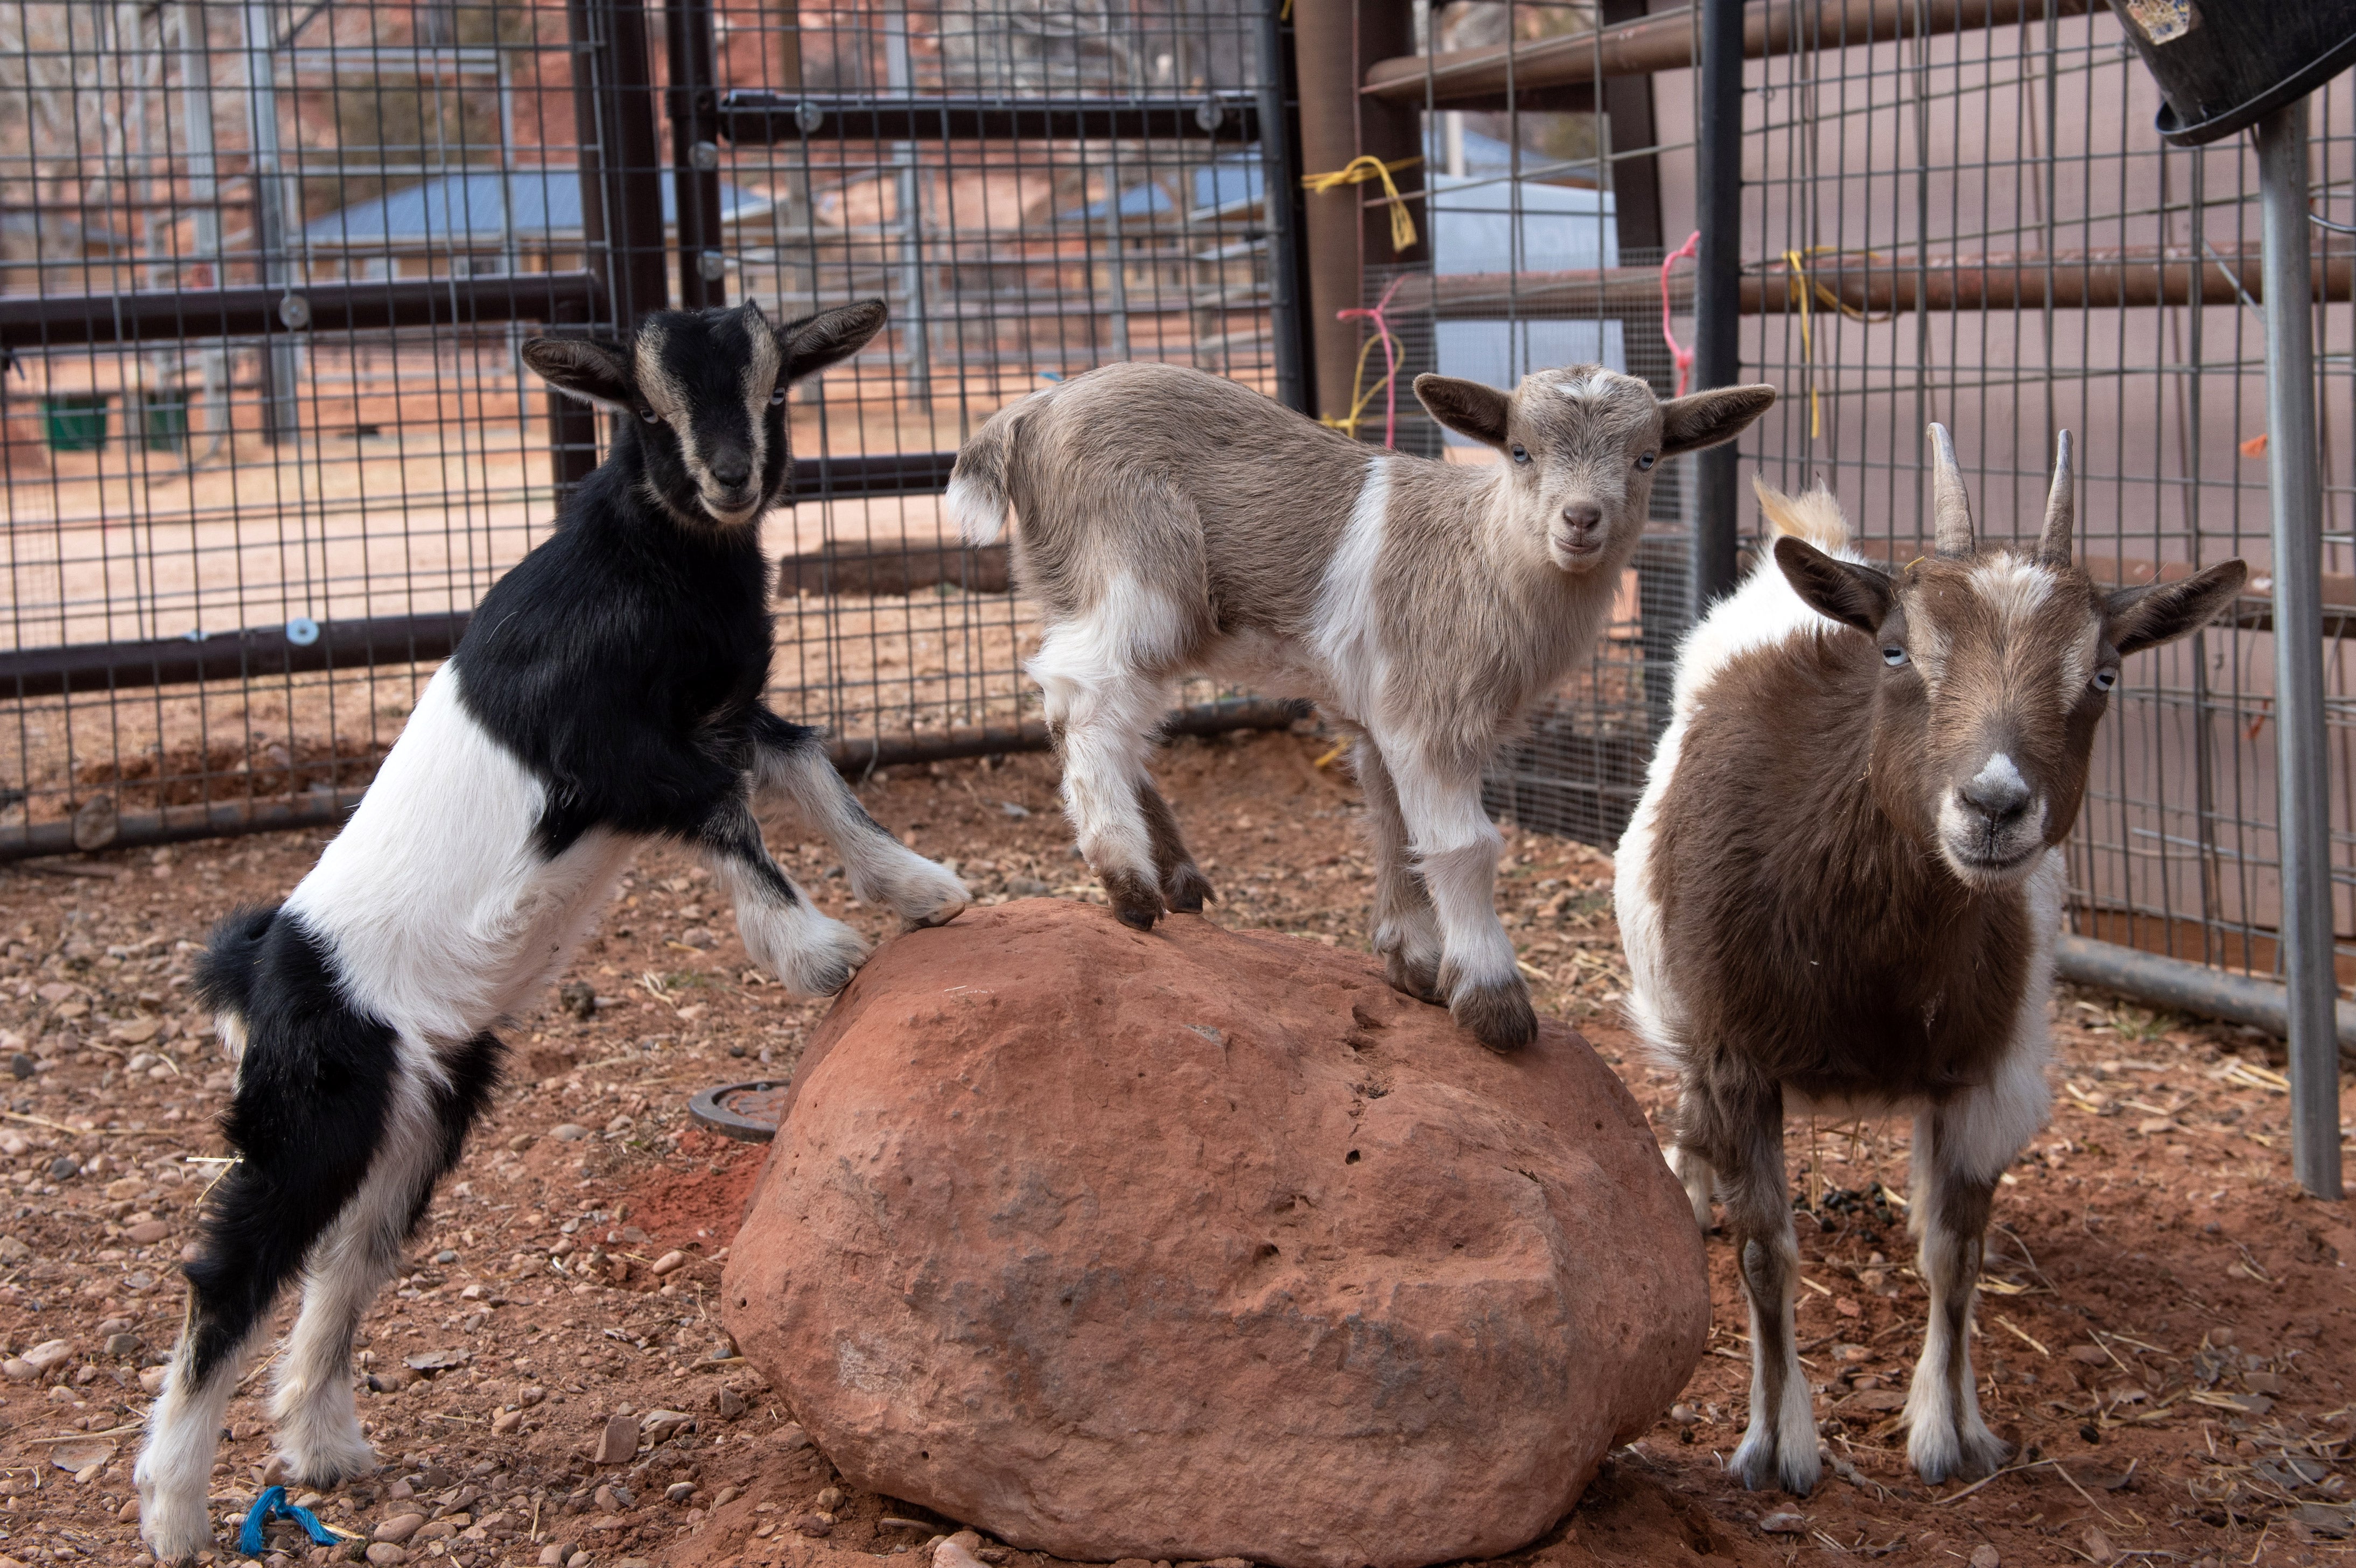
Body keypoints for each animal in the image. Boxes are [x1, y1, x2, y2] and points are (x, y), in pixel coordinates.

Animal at [133, 299, 969, 1563]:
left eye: (775, 387)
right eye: (647, 406)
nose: (730, 477)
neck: (646, 559)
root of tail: (262, 969)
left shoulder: (720, 715)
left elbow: (809, 765)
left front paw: (919, 886)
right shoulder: (618, 753)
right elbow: (731, 809)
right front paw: (814, 950)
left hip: (420, 1115)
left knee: (346, 1257)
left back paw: (321, 1446)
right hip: (317, 1106)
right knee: (232, 1268)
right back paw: (176, 1508)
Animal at [948, 360, 1774, 1050]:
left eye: (1646, 457)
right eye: (1519, 451)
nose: (1580, 519)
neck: (1483, 557)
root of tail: (1030, 411)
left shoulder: (1384, 718)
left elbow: (1392, 822)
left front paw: (1414, 963)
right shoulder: (1431, 713)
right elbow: (1464, 845)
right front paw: (1493, 1000)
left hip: (1072, 585)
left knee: (1114, 718)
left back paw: (1173, 872)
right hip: (1137, 577)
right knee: (1085, 700)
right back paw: (1126, 881)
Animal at [1615, 427, 2245, 1494]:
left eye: (2105, 674)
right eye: (1898, 649)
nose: (1993, 805)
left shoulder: (1982, 1072)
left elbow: (1957, 1257)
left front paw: (1952, 1432)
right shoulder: (1737, 1053)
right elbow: (1766, 1254)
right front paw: (1776, 1446)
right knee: (1690, 1110)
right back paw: (1688, 1189)